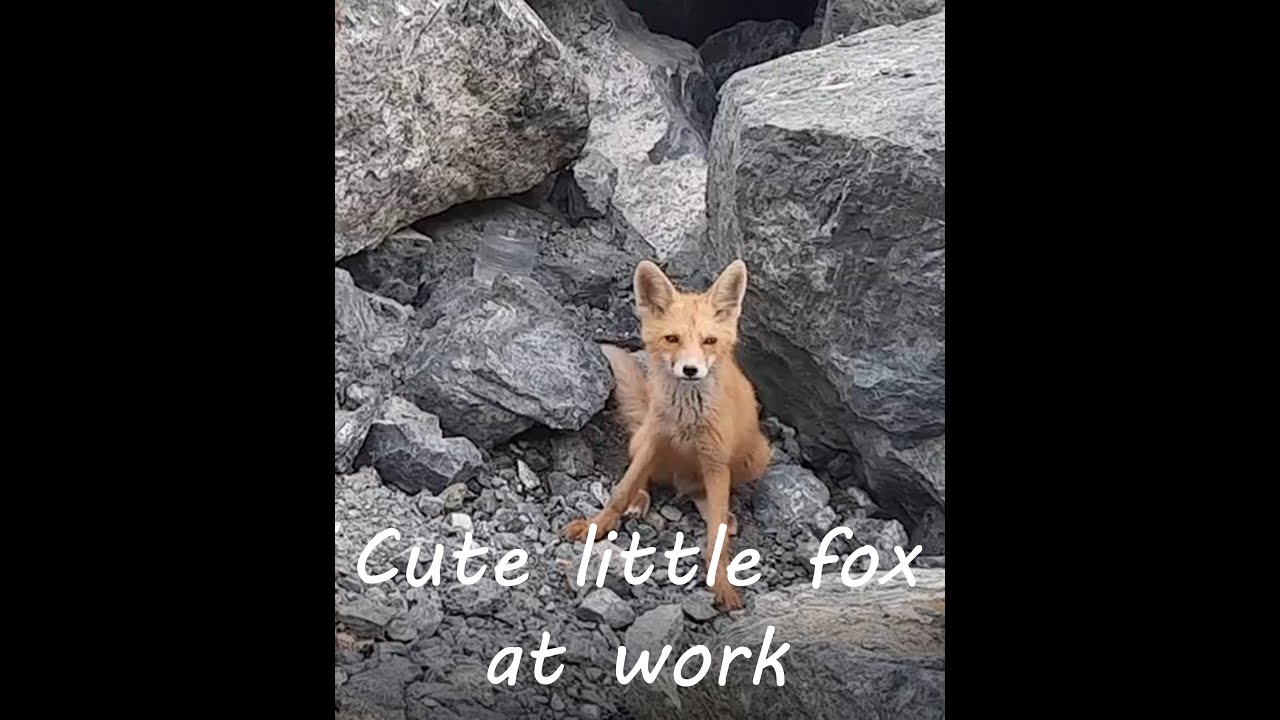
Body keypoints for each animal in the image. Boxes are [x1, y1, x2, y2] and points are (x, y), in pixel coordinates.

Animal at [562, 259, 772, 611]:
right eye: (672, 339)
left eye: (709, 341)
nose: (690, 370)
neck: (686, 416)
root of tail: (679, 478)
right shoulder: (655, 438)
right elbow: (619, 492)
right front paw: (597, 526)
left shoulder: (715, 460)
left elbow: (715, 537)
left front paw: (721, 583)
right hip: (644, 439)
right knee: (643, 477)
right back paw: (641, 498)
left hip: (757, 457)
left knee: (702, 498)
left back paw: (718, 512)